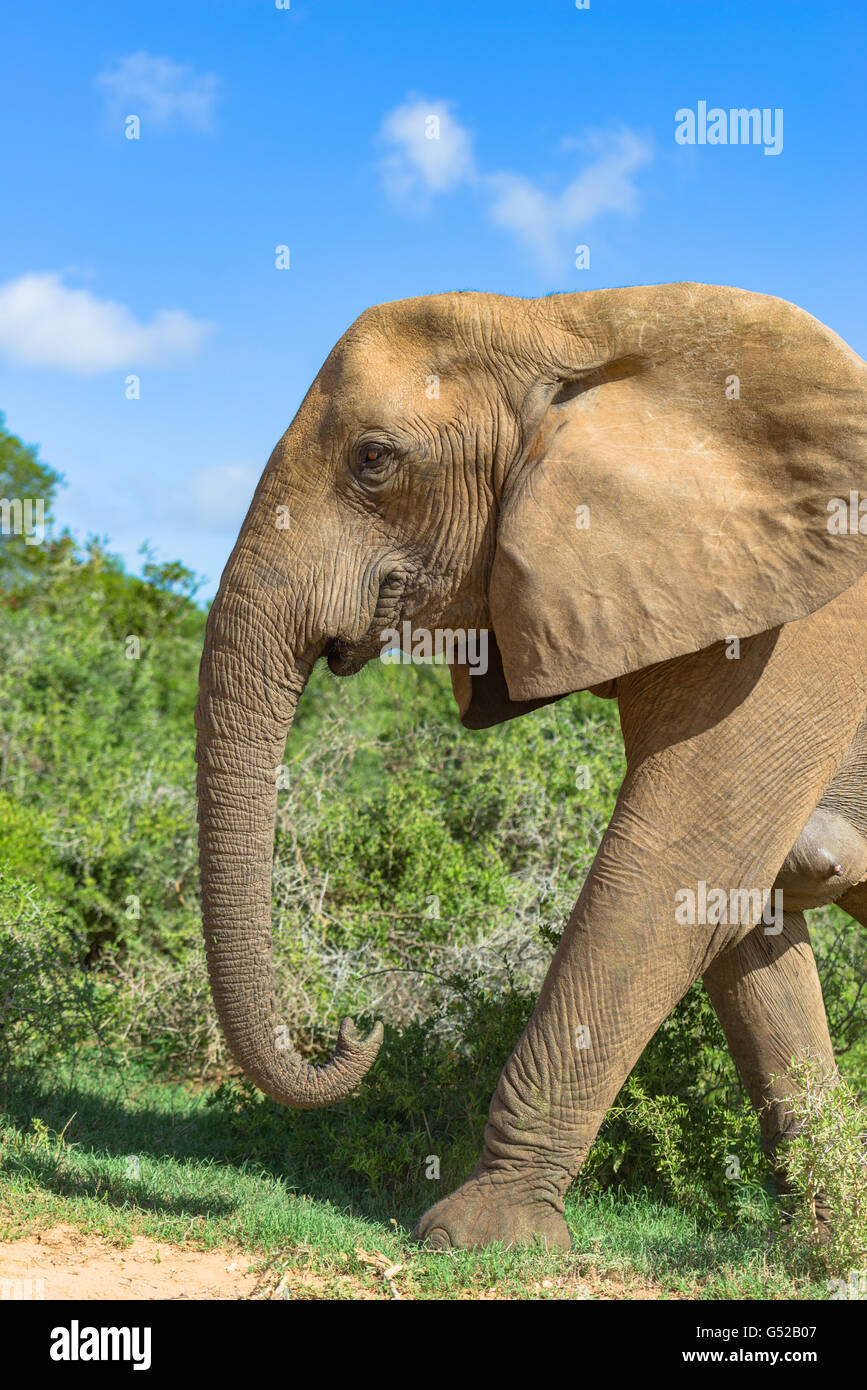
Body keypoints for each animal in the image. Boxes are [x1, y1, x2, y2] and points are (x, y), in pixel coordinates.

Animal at [195, 281, 867, 1251]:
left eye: (373, 460)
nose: (354, 1034)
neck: (575, 320)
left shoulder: (803, 629)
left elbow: (676, 868)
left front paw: (476, 1237)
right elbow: (735, 899)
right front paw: (821, 1247)